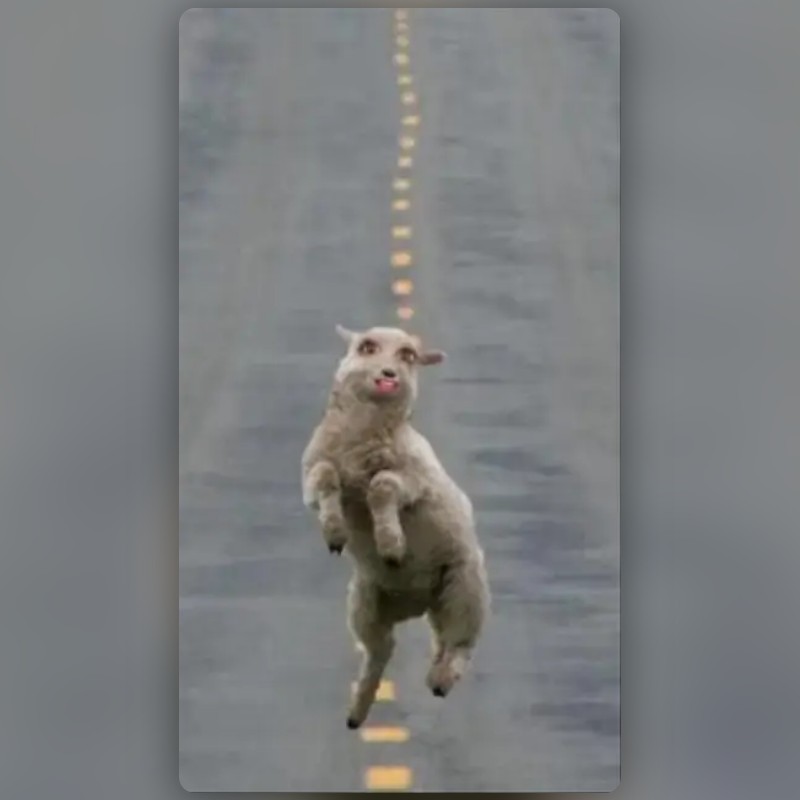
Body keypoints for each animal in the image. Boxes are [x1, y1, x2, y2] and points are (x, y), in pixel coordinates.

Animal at [301, 324, 490, 729]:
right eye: (366, 347)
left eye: (409, 356)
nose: (389, 375)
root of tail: (415, 603)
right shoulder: (311, 477)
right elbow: (325, 478)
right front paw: (335, 533)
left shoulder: (414, 481)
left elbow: (382, 486)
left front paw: (391, 544)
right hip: (366, 602)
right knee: (381, 651)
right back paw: (357, 710)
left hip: (465, 589)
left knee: (459, 643)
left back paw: (441, 679)